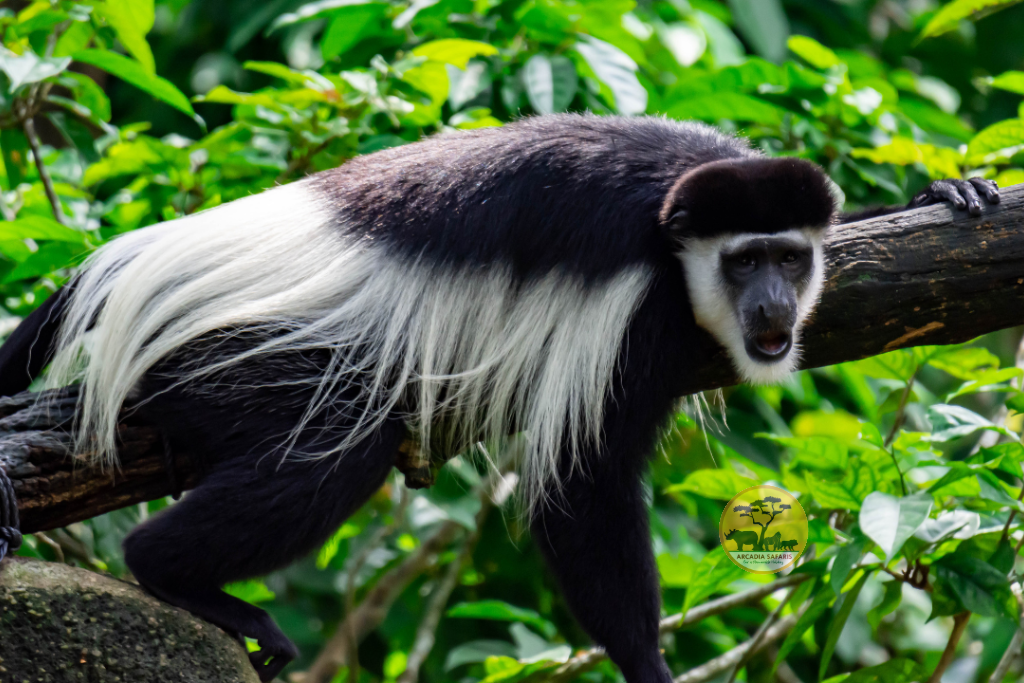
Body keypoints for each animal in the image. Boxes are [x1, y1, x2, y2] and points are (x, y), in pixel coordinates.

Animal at [0, 114, 999, 682]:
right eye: (744, 262)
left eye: (789, 258)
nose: (772, 310)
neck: (680, 239)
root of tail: (129, 264)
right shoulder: (629, 308)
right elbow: (578, 485)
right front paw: (648, 666)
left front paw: (942, 187)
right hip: (235, 350)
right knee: (334, 446)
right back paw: (174, 573)